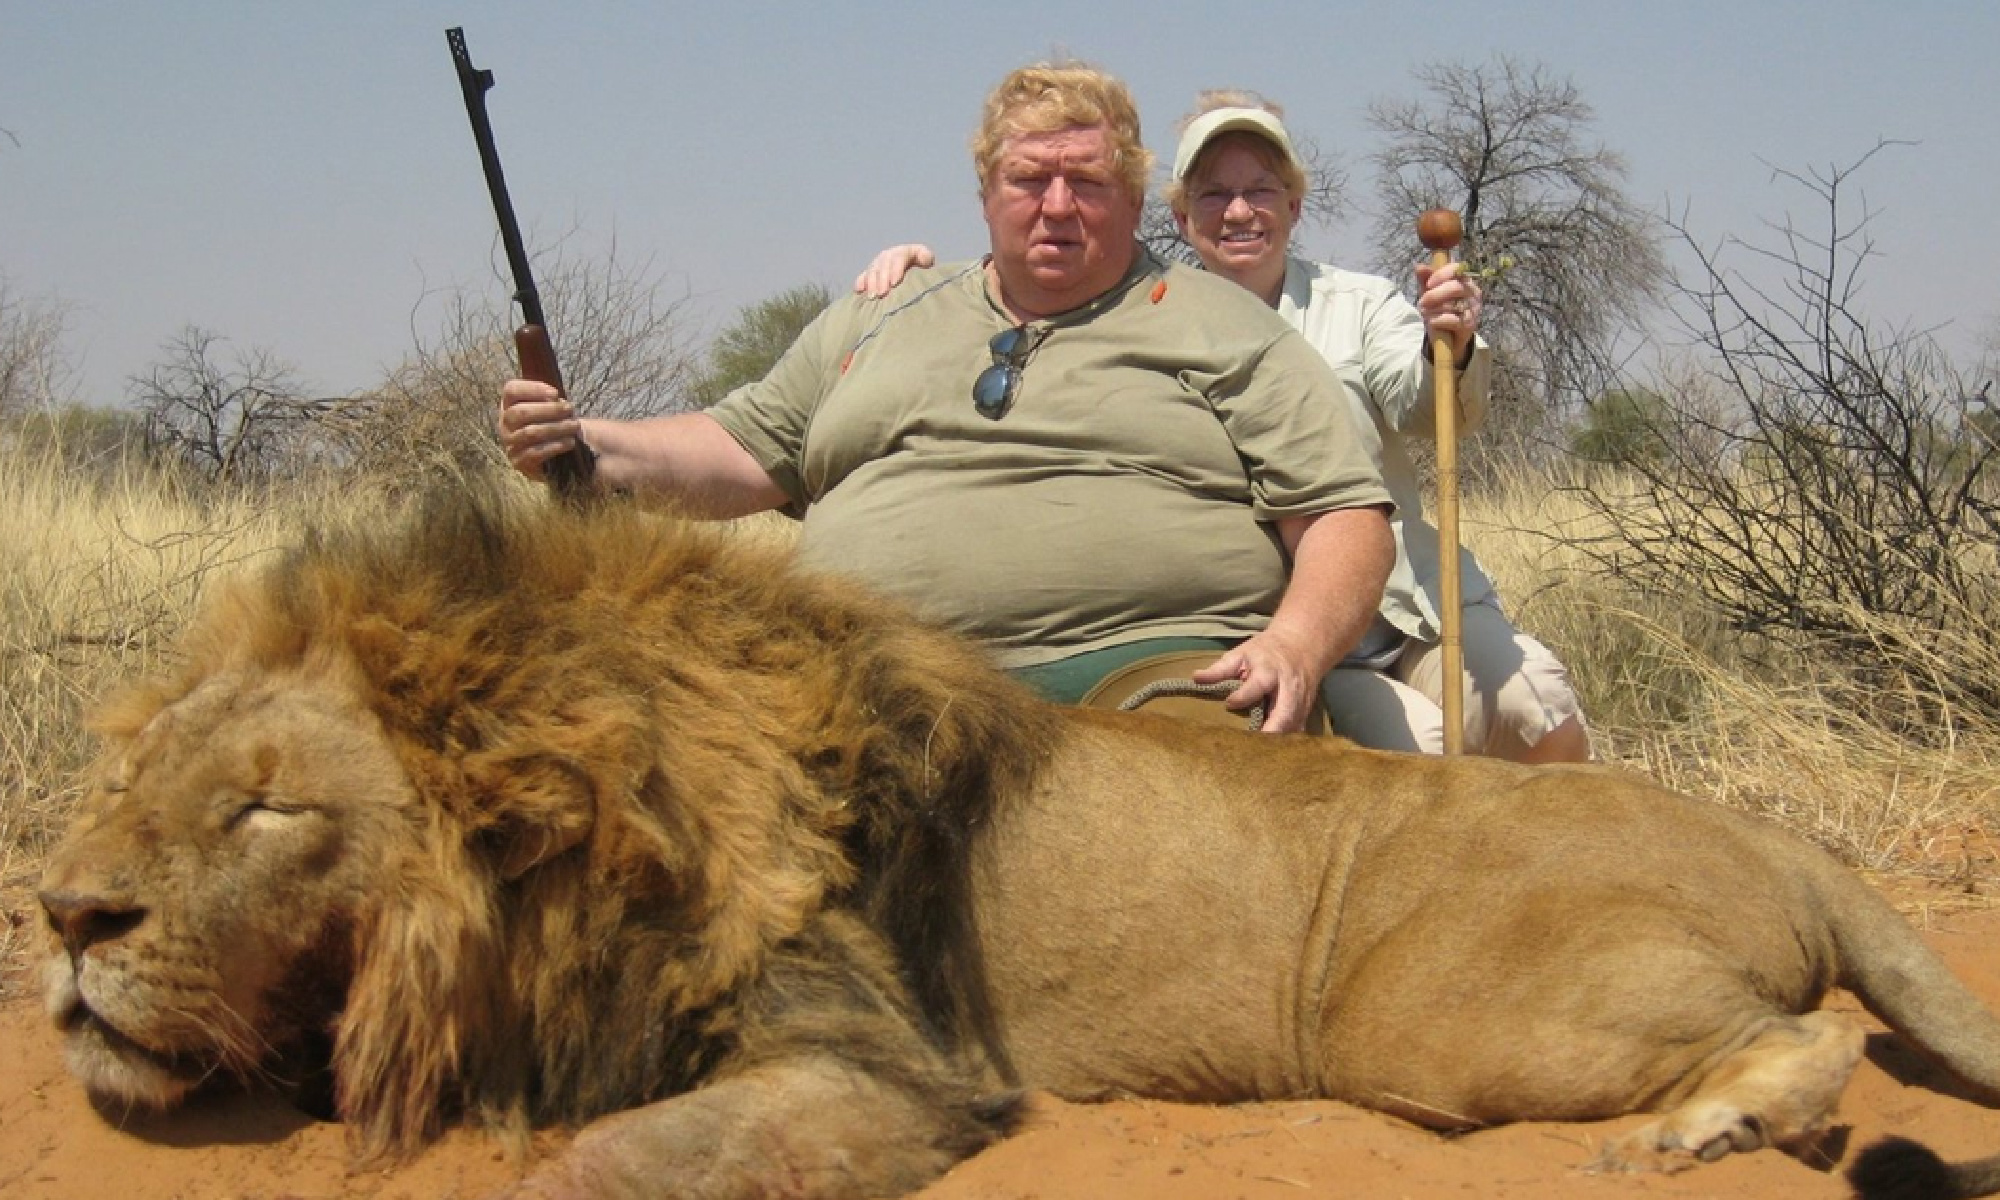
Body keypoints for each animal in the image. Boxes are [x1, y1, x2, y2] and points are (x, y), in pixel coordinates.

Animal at [35, 489, 2000, 1200]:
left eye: (271, 807)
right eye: (144, 785)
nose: (63, 915)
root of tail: (1785, 843)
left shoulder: (885, 1073)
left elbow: (589, 1172)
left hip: (1439, 1020)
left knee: (1809, 1041)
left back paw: (1700, 1132)